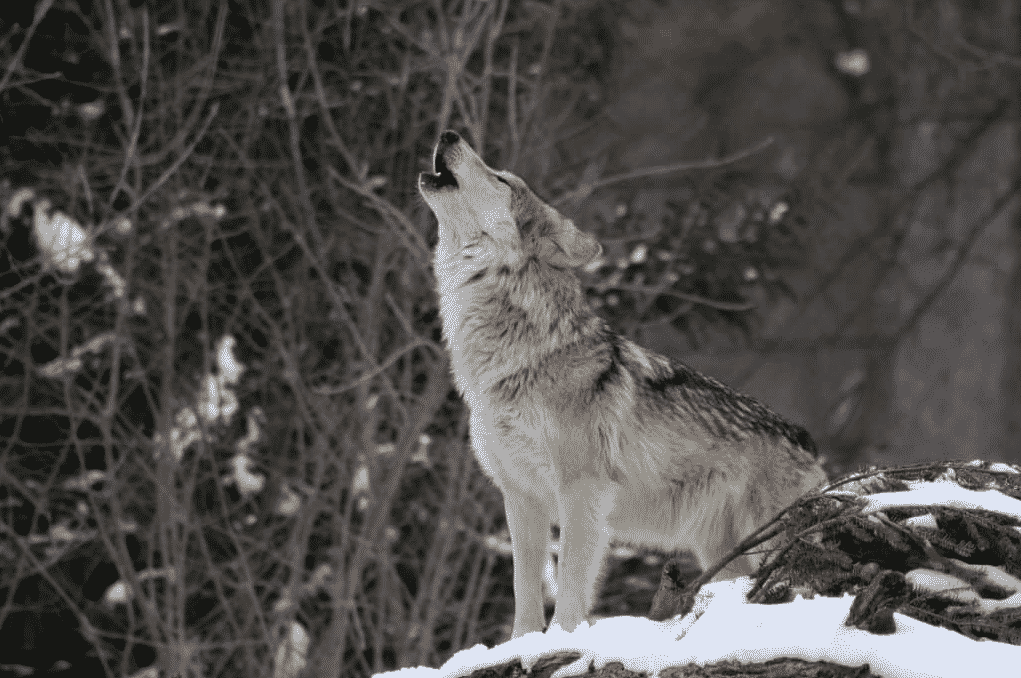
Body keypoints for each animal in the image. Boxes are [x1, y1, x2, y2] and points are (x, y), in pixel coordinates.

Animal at [419, 130, 827, 638]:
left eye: (501, 178)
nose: (449, 134)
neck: (521, 358)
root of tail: (804, 438)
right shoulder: (521, 497)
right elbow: (523, 589)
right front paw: (521, 644)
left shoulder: (582, 490)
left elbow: (571, 584)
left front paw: (563, 638)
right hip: (721, 553)